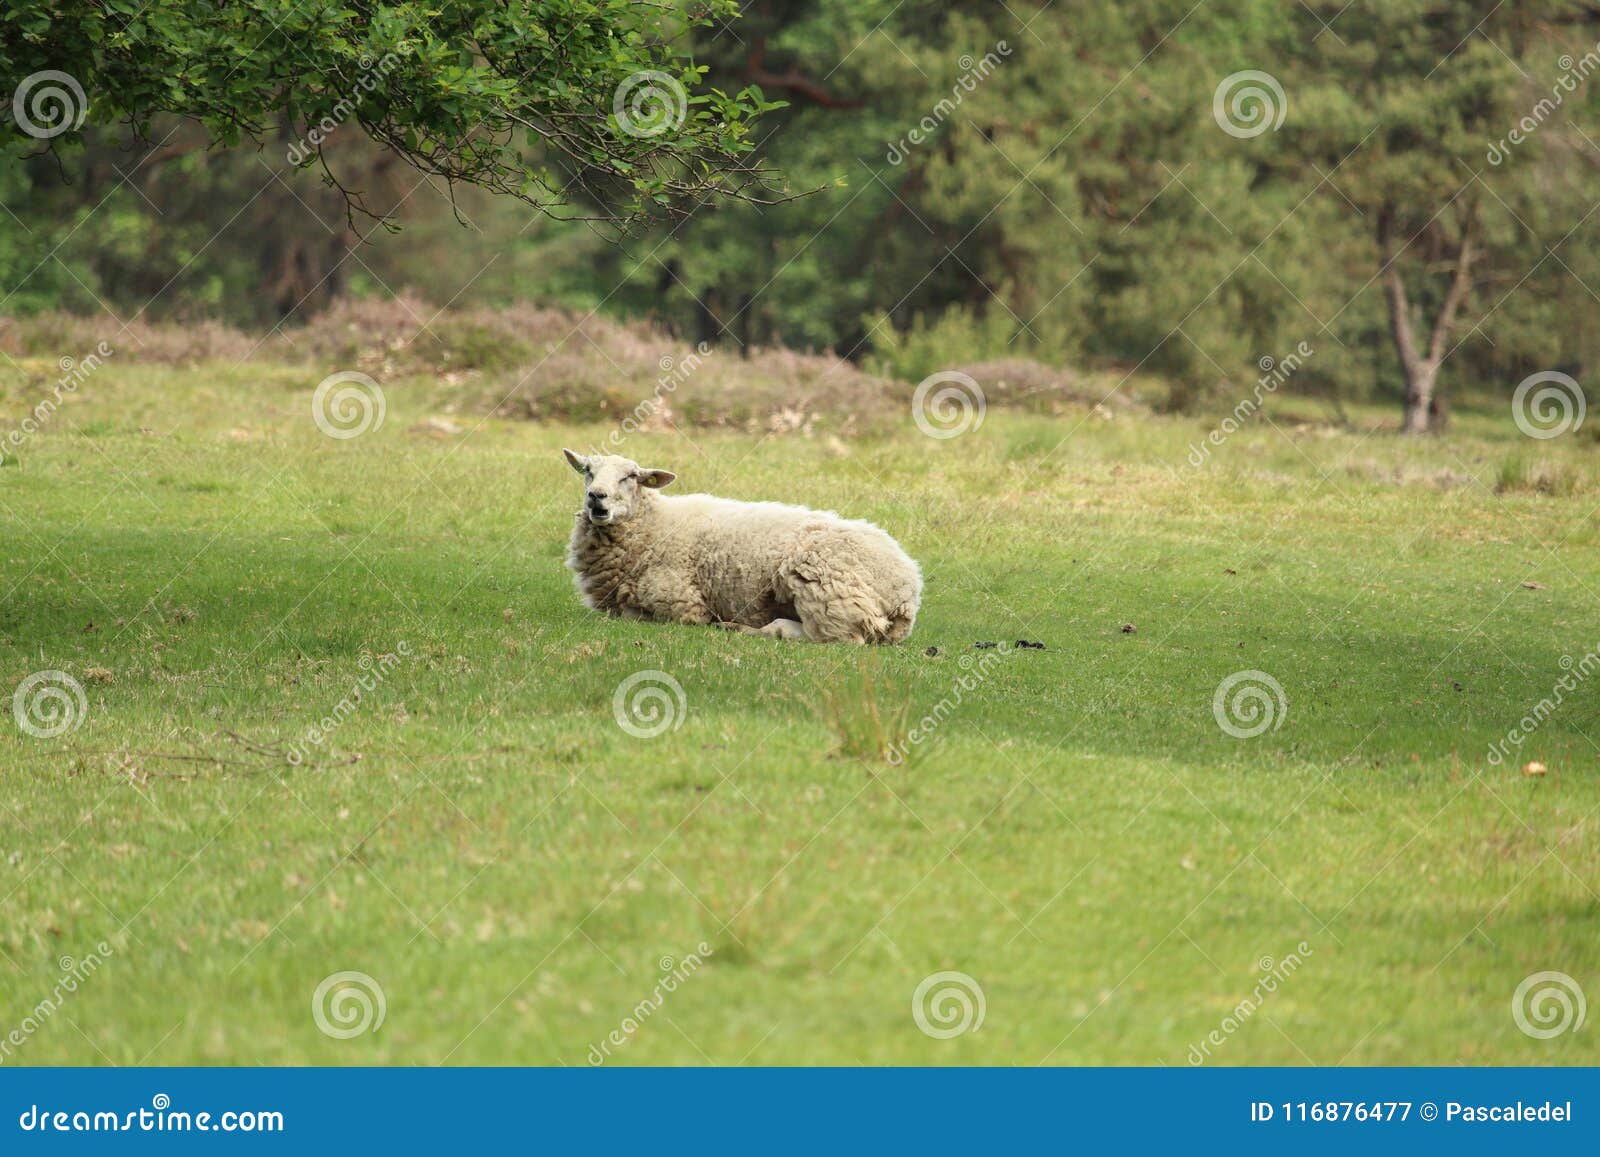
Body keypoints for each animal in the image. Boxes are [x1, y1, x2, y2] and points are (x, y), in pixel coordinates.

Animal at [562, 449, 922, 643]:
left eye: (631, 477)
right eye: (588, 471)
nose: (596, 497)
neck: (654, 525)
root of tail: (908, 584)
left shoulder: (681, 602)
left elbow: (629, 615)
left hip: (828, 591)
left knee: (829, 635)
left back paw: (742, 627)